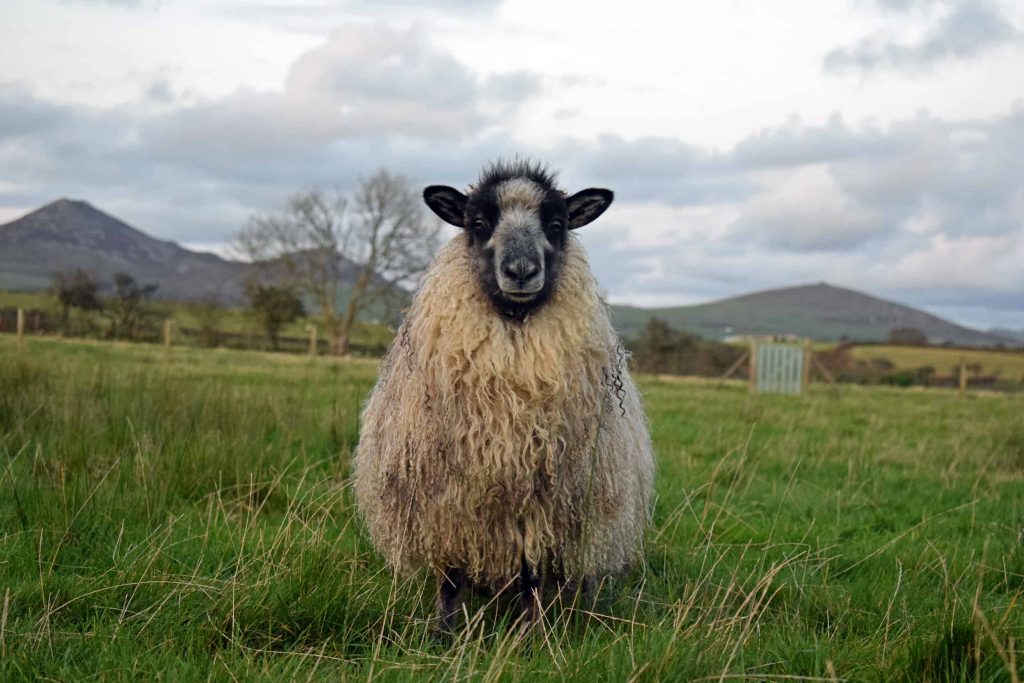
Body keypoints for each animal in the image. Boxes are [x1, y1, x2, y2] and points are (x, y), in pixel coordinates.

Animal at [353, 160, 654, 631]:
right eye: (478, 222)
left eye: (556, 224)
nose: (521, 270)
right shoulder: (447, 500)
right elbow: (450, 575)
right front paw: (444, 633)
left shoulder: (538, 501)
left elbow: (531, 573)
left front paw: (529, 634)